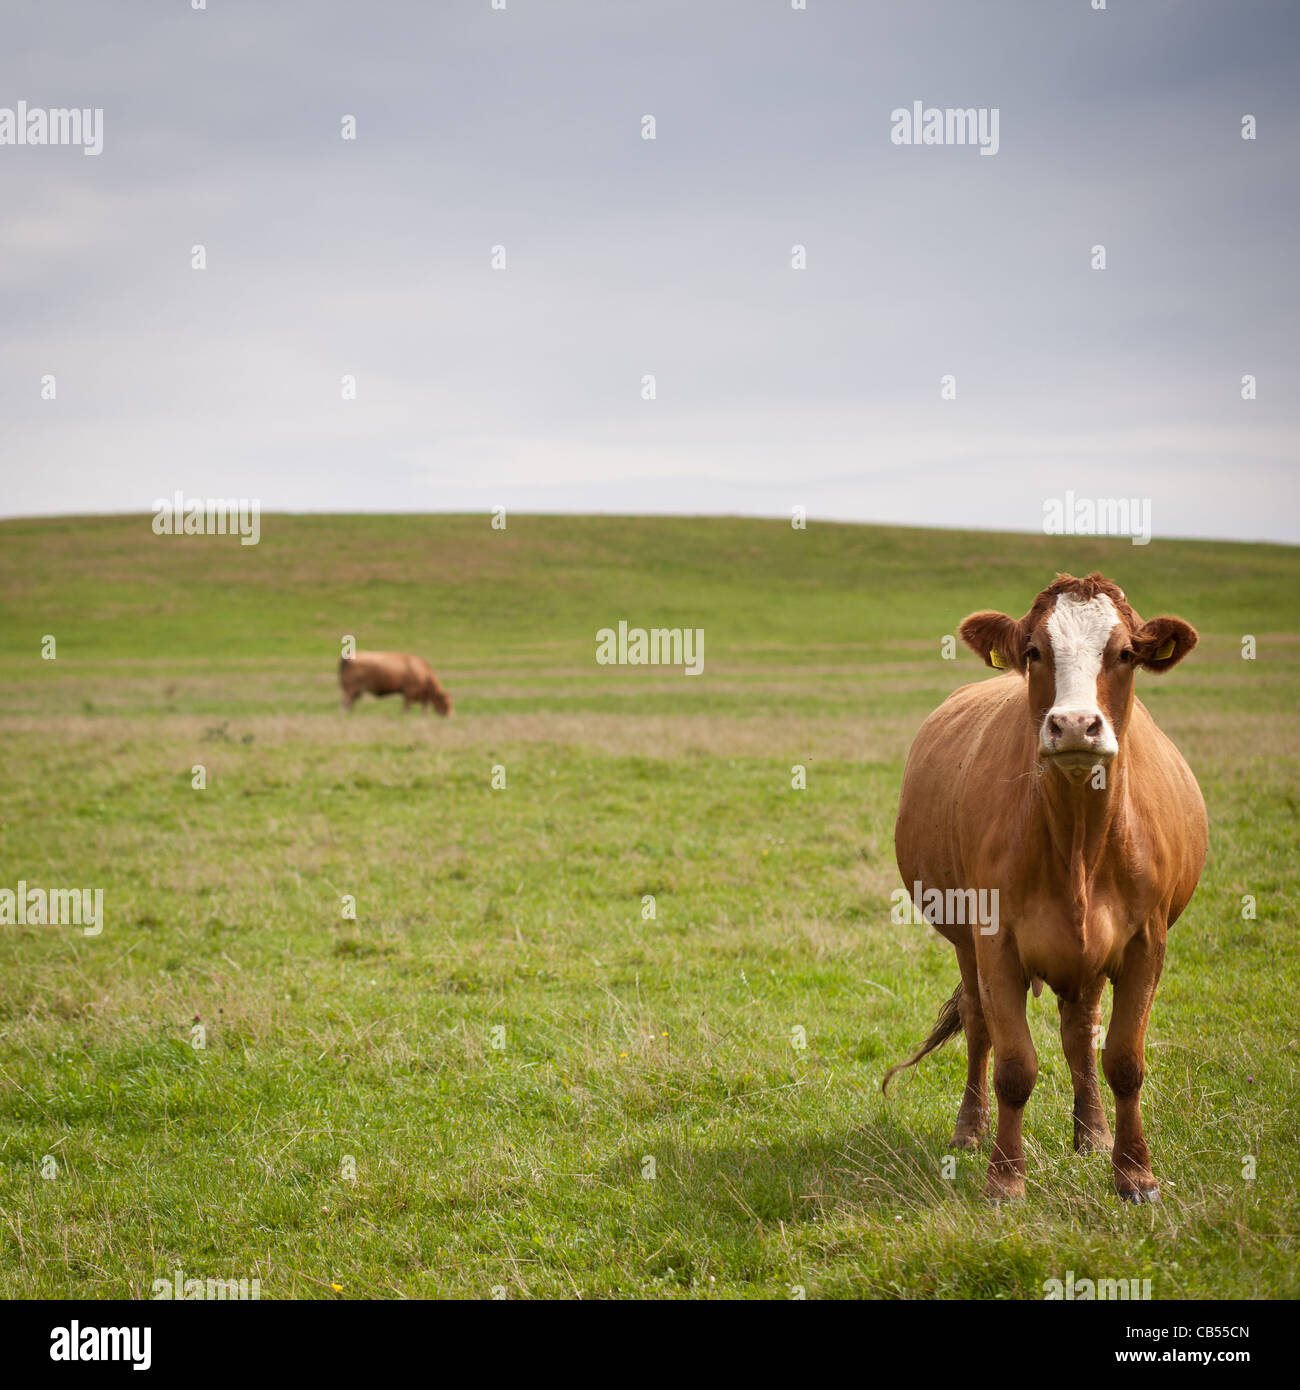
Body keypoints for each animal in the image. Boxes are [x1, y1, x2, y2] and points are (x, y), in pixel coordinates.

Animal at [885, 573, 1206, 1203]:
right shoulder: (996, 942)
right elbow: (1014, 1065)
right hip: (966, 942)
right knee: (980, 1027)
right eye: (1034, 652)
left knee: (1081, 1034)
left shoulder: (1146, 944)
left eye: (1125, 653)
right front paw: (1006, 1179)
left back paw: (1093, 1134)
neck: (1078, 839)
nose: (1076, 725)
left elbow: (1124, 1059)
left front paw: (1134, 1174)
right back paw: (970, 1130)